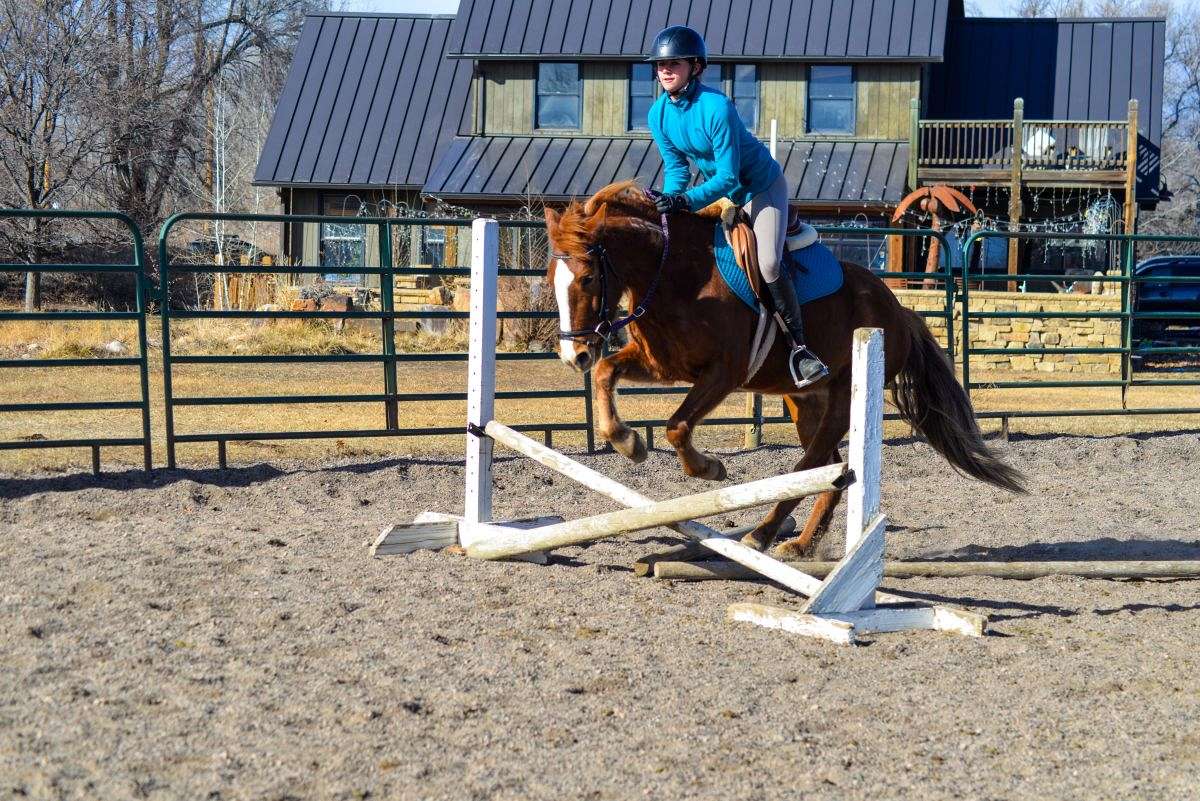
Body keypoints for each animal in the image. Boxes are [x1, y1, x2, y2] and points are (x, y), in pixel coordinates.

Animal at [543, 181, 1025, 558]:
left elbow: (678, 426)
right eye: (551, 279)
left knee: (814, 466)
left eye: (588, 278)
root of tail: (899, 311)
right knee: (832, 471)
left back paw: (762, 534)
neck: (674, 272)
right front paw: (627, 443)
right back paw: (801, 543)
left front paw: (710, 469)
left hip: (843, 397)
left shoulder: (723, 373)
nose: (573, 356)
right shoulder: (661, 364)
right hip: (805, 402)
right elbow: (606, 373)